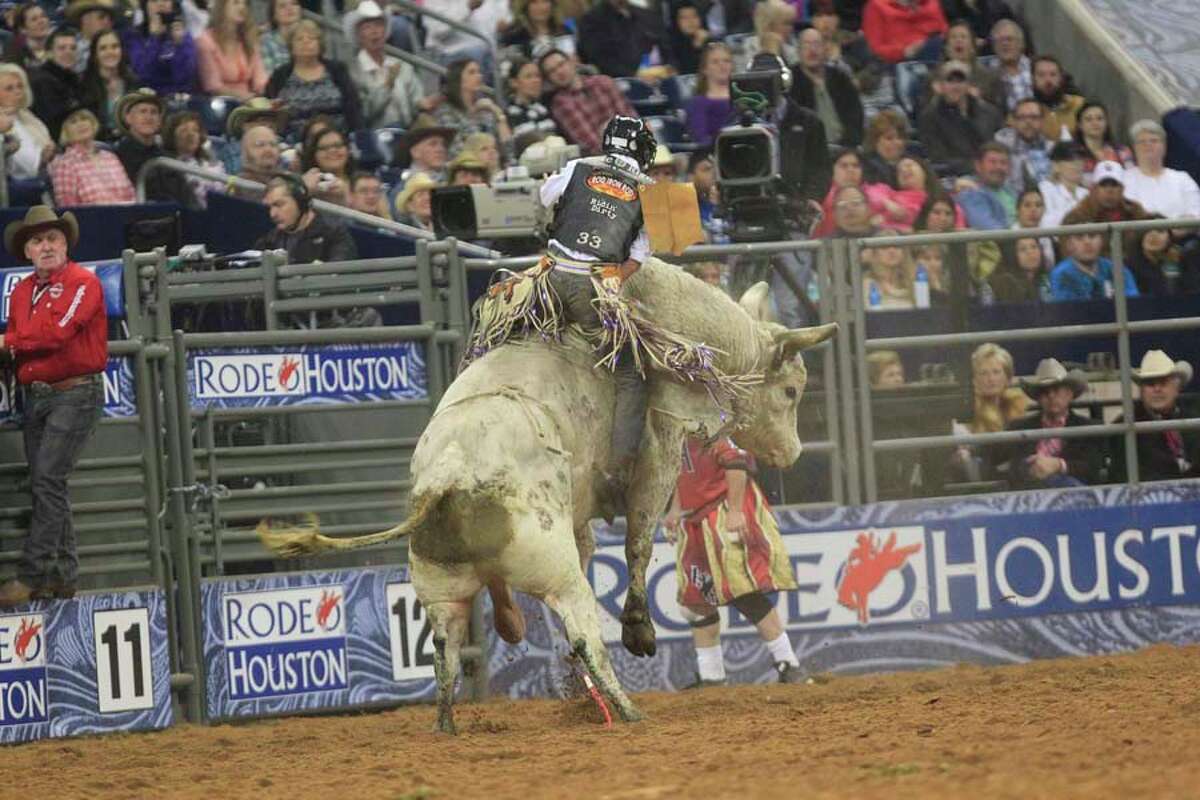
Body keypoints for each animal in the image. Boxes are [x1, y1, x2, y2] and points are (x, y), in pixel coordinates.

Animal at [259, 257, 836, 733]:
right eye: (791, 391)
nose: (791, 453)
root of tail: (448, 477)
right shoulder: (663, 440)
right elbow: (640, 535)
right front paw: (639, 630)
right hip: (552, 566)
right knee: (582, 630)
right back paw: (626, 710)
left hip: (440, 585)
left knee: (446, 647)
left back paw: (451, 718)